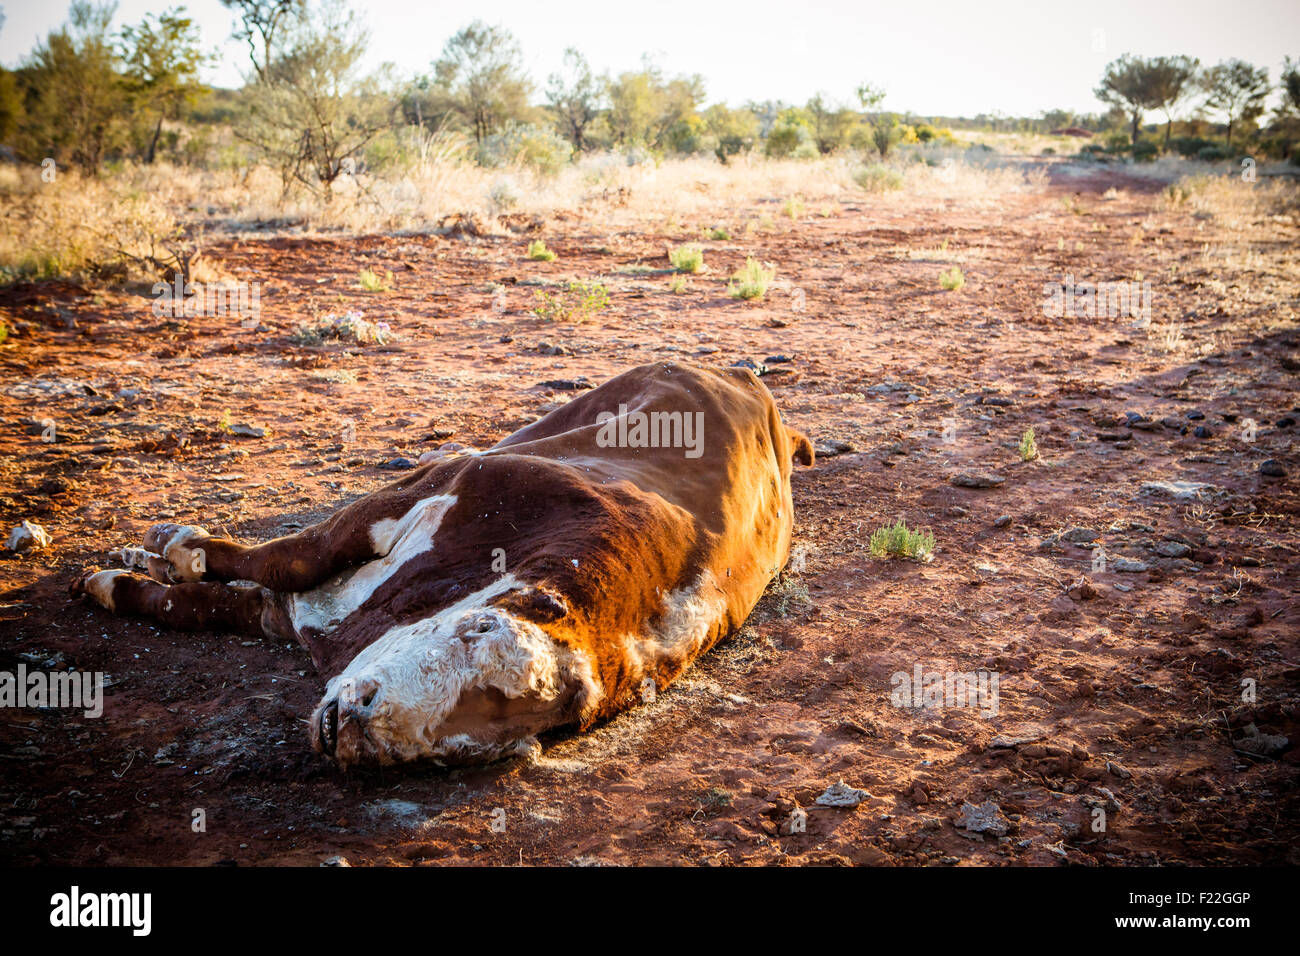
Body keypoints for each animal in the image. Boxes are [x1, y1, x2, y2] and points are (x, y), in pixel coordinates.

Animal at [73, 363, 814, 768]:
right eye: (472, 636)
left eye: (464, 744)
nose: (356, 732)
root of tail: (747, 382)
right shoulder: (455, 482)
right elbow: (288, 554)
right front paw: (168, 546)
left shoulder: (299, 616)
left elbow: (215, 600)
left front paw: (121, 581)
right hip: (556, 418)